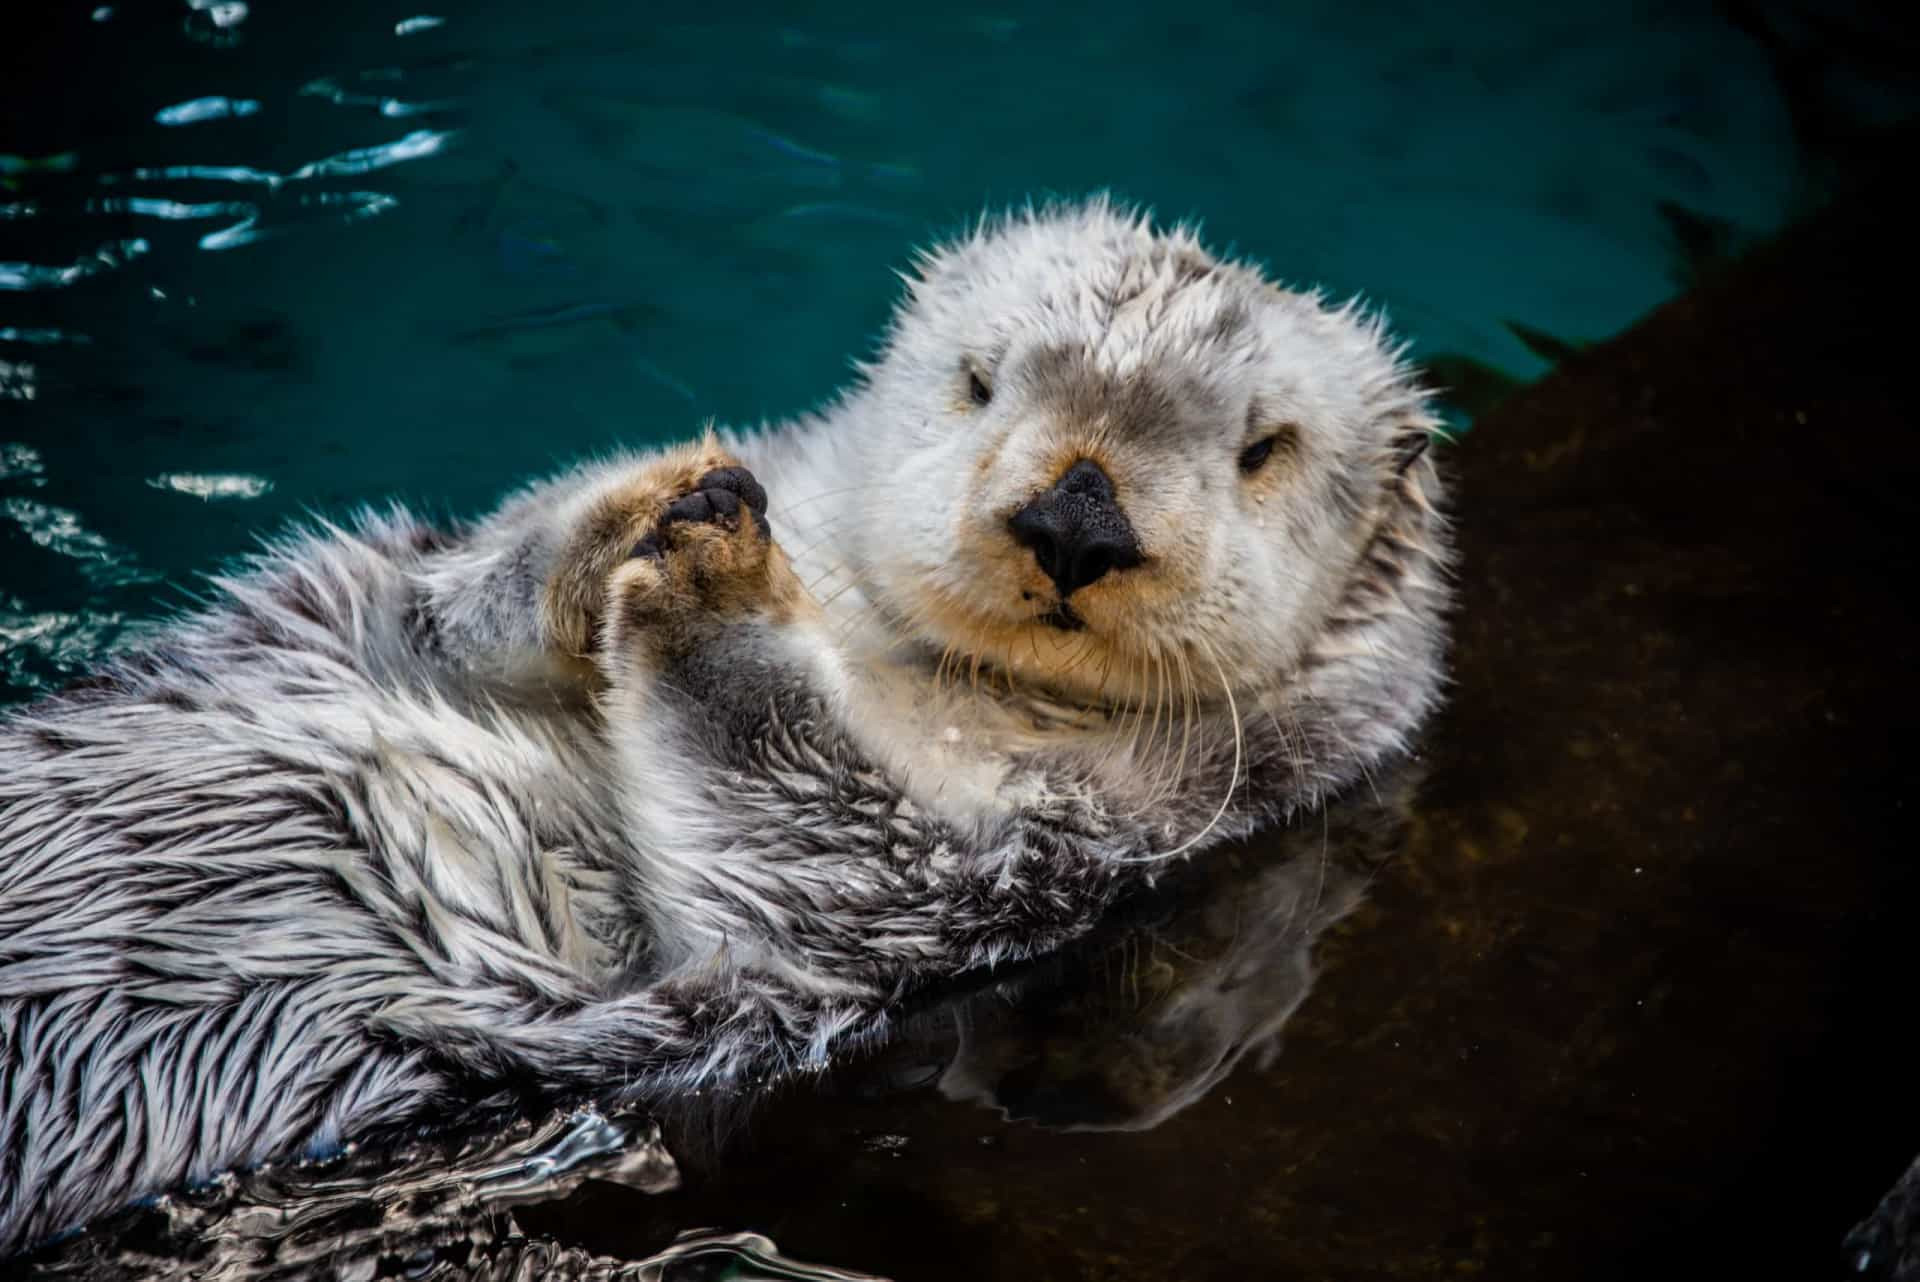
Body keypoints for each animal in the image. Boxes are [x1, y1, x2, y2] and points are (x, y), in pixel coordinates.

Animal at [0, 198, 1450, 1254]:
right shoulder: (388, 616)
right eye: (981, 383)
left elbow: (815, 834)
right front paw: (659, 505)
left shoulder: (1040, 862)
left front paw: (715, 590)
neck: (896, 660)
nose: (1073, 521)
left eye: (1264, 448)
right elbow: (441, 603)